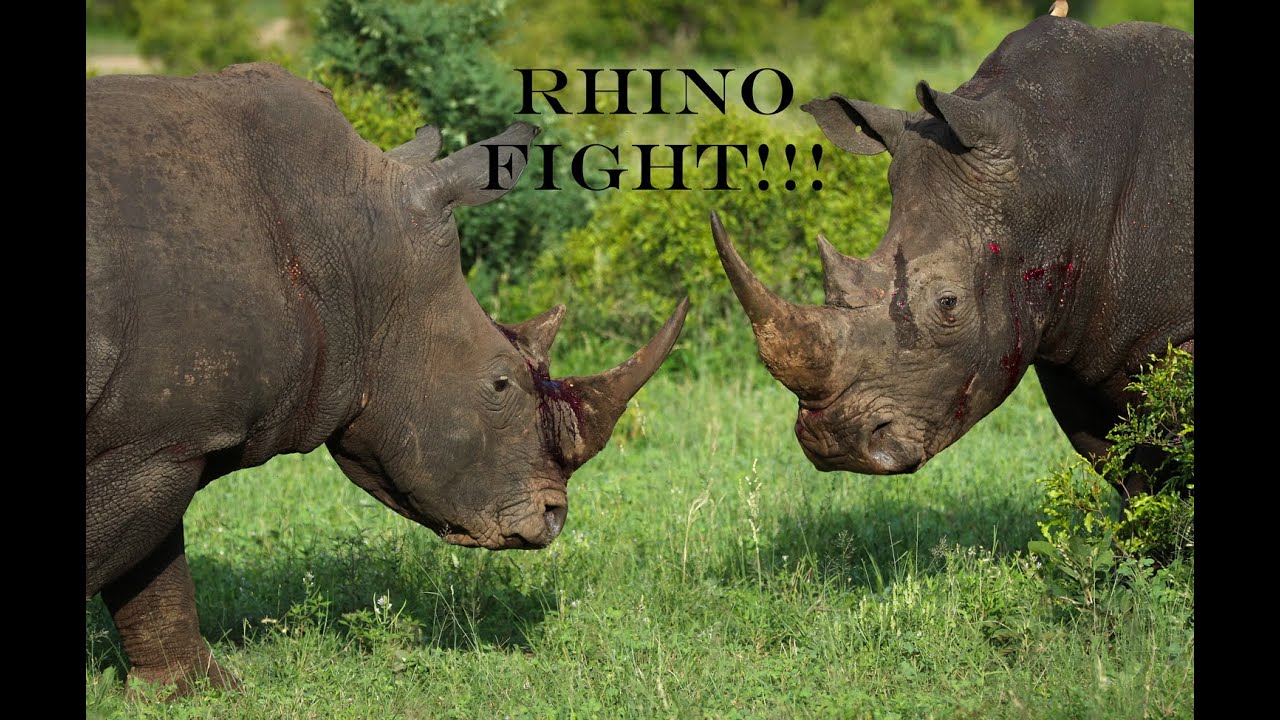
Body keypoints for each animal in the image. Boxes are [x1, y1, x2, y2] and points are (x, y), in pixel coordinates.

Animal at [86, 63, 688, 694]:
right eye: (500, 384)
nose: (553, 517)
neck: (350, 239)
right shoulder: (153, 441)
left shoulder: (168, 436)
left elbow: (155, 569)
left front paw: (190, 691)